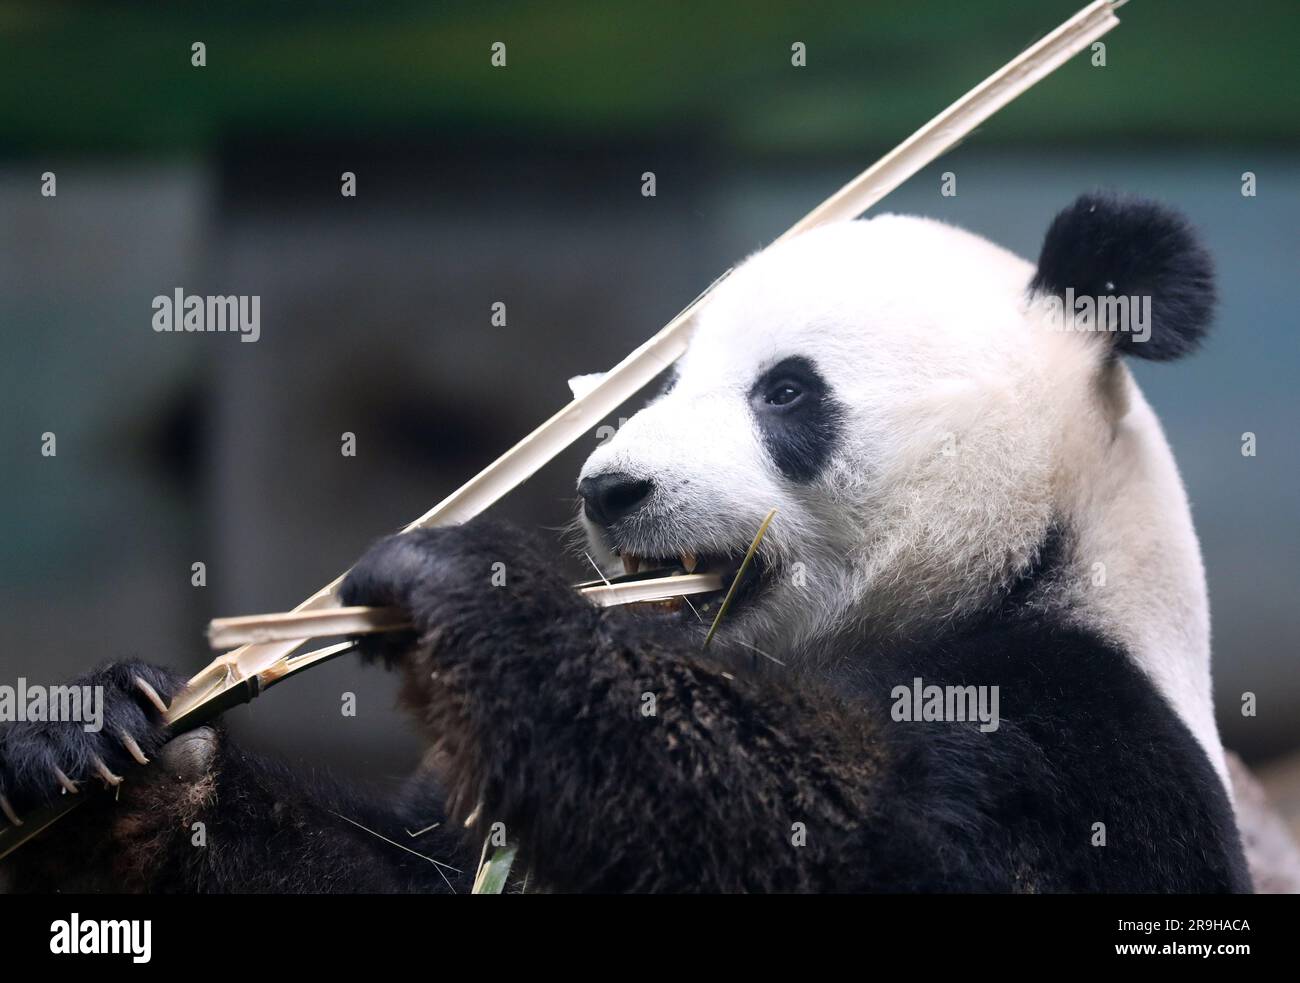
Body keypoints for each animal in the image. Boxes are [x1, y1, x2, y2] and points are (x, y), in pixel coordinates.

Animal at [0, 192, 1251, 893]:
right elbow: (399, 867)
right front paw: (113, 748)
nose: (610, 488)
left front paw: (467, 582)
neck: (1030, 558)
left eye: (785, 390)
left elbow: (840, 848)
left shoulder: (1073, 731)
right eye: (667, 381)